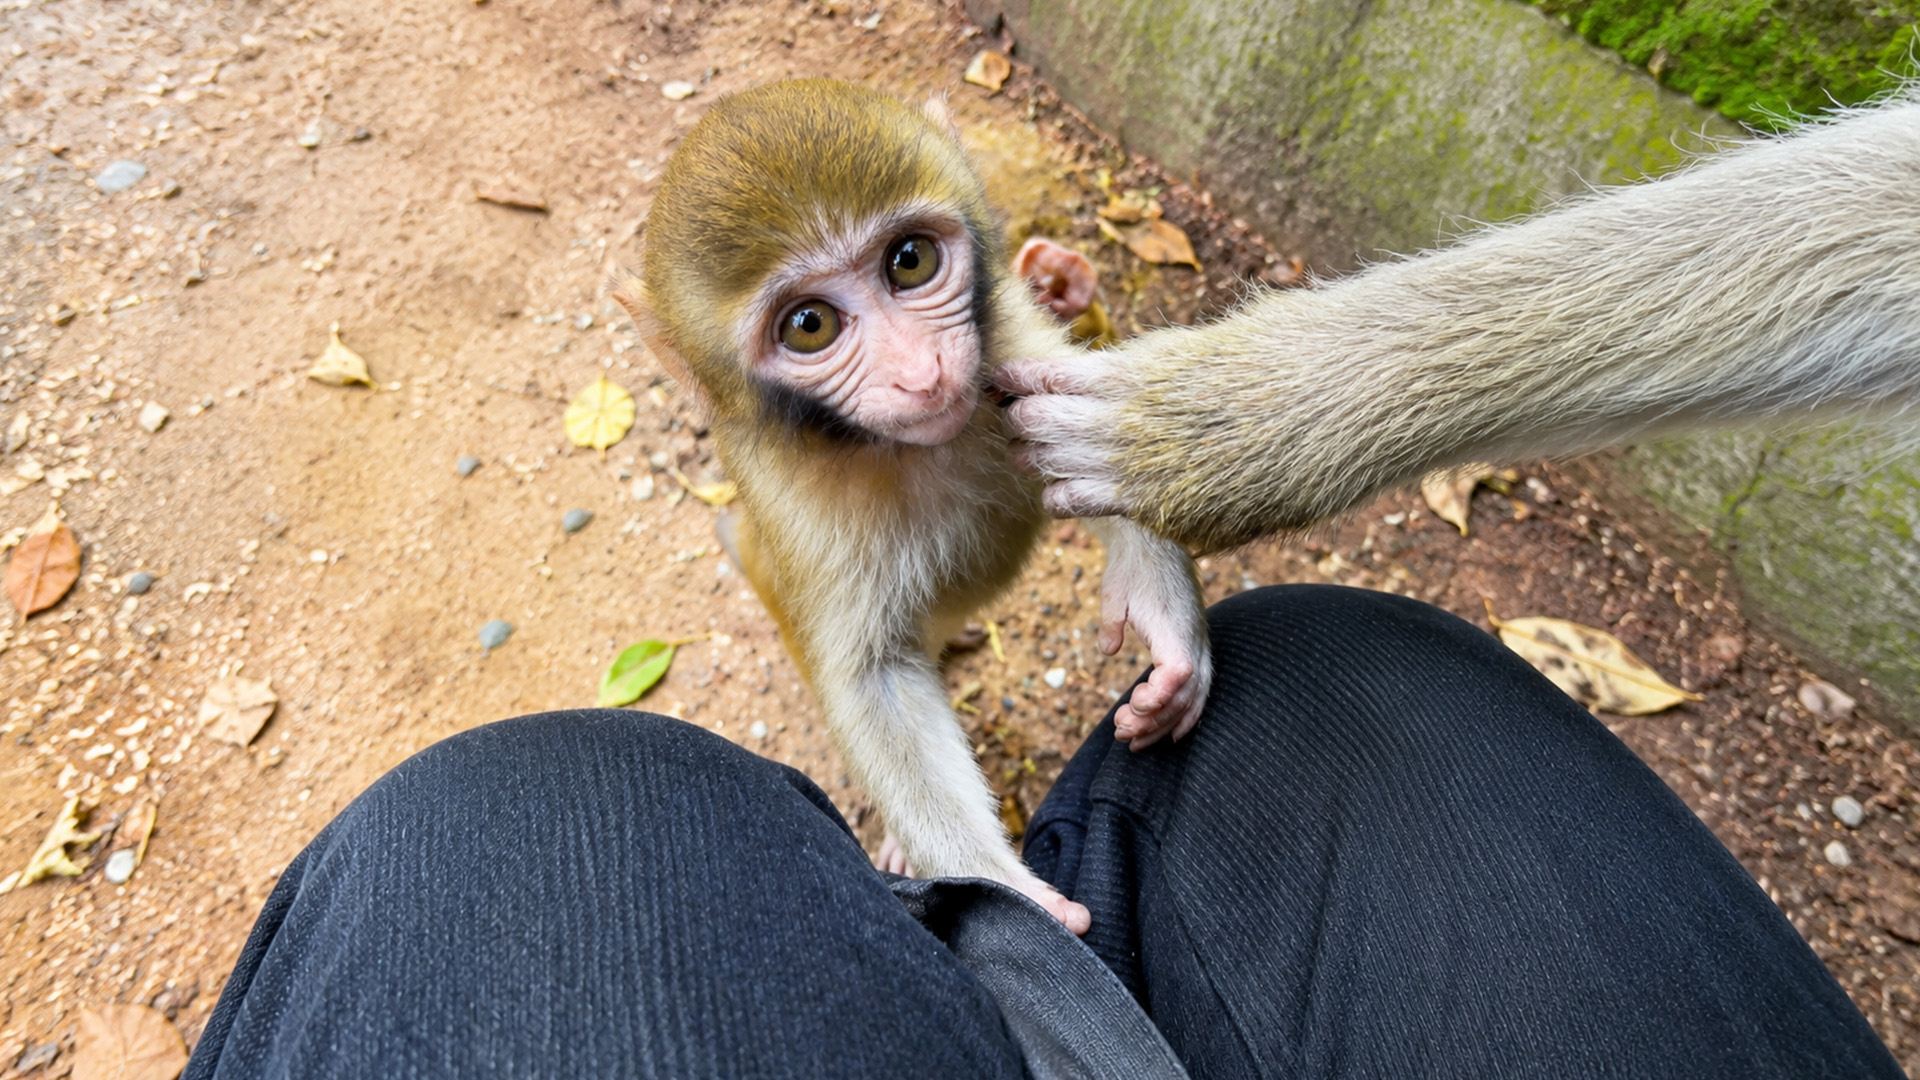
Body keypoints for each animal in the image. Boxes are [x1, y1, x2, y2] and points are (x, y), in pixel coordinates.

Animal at [612, 79, 1211, 934]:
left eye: (910, 261)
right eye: (809, 325)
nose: (922, 372)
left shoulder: (1008, 338)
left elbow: (1095, 436)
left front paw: (1165, 620)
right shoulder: (801, 508)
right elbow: (875, 680)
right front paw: (1008, 890)